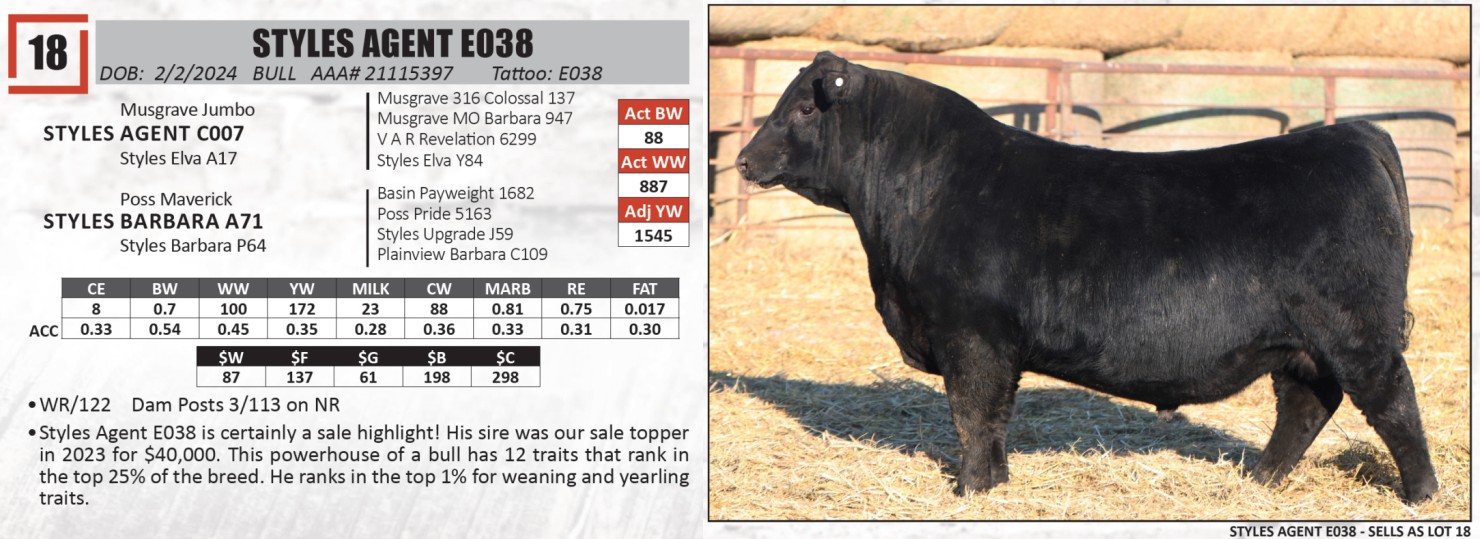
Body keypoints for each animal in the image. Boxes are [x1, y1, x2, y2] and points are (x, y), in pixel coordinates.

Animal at [734, 51, 1438, 504]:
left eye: (803, 109)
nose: (742, 159)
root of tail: (1353, 134)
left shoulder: (973, 336)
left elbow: (973, 414)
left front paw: (970, 488)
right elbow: (991, 419)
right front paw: (991, 484)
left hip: (1356, 333)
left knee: (1393, 401)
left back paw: (1422, 495)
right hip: (1301, 343)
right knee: (1305, 405)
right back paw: (1258, 482)